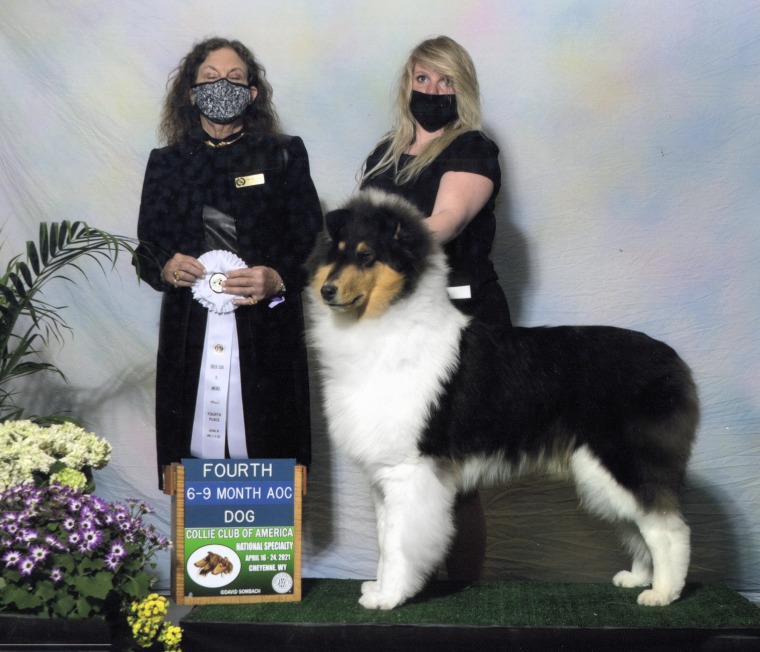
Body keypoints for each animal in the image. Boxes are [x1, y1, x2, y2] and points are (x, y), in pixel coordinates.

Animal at [306, 189, 698, 610]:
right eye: (336, 253)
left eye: (366, 255)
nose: (327, 291)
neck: (385, 327)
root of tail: (675, 362)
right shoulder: (384, 475)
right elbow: (383, 539)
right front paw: (378, 589)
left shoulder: (408, 469)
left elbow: (397, 543)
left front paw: (389, 598)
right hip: (602, 472)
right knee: (639, 527)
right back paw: (638, 578)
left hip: (626, 460)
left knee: (668, 529)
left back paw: (662, 593)